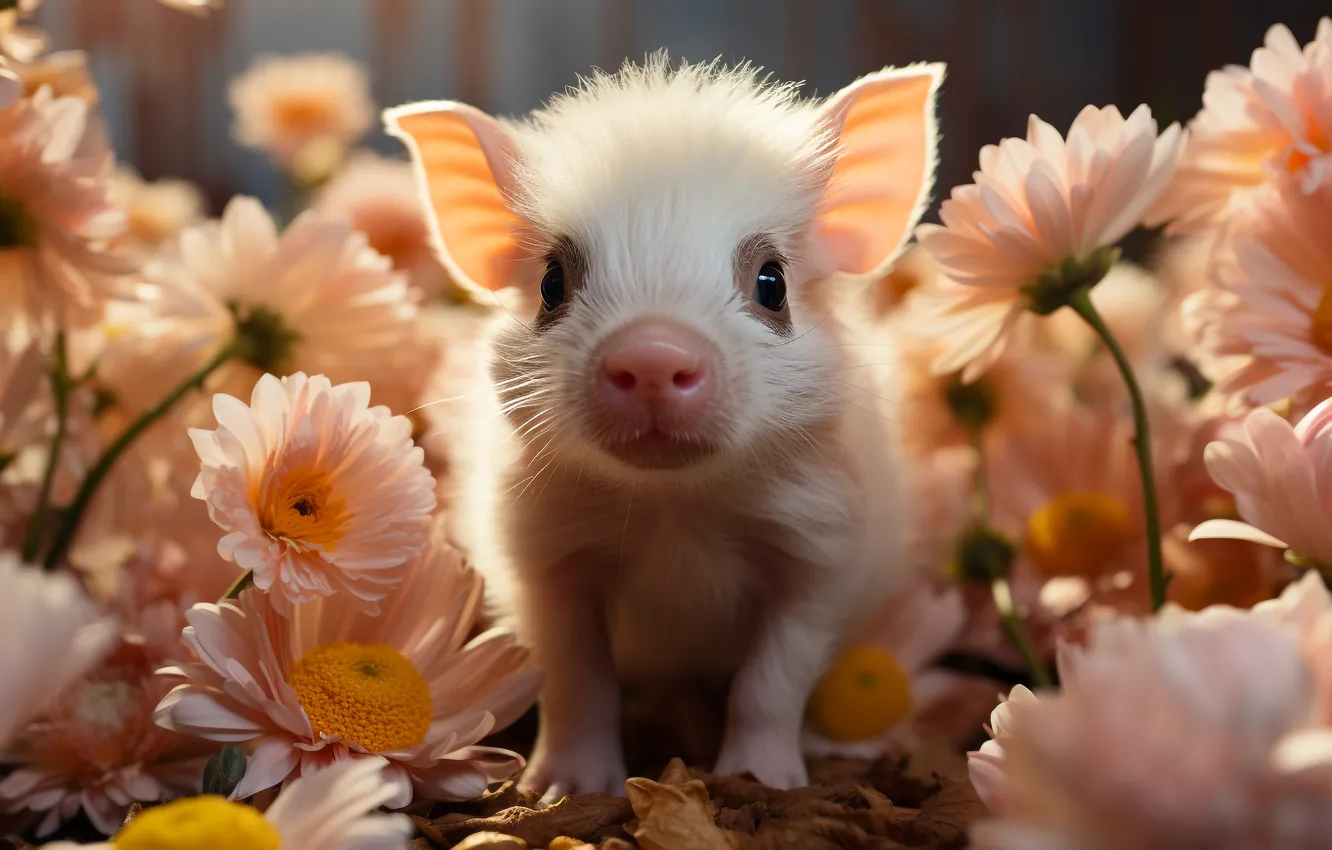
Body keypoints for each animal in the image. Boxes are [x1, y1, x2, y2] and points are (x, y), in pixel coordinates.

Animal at [385, 52, 944, 797]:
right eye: (552, 284)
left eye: (772, 283)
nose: (653, 351)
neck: (672, 511)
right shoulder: (542, 557)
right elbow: (575, 679)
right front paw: (563, 791)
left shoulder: (821, 553)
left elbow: (773, 680)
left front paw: (762, 782)